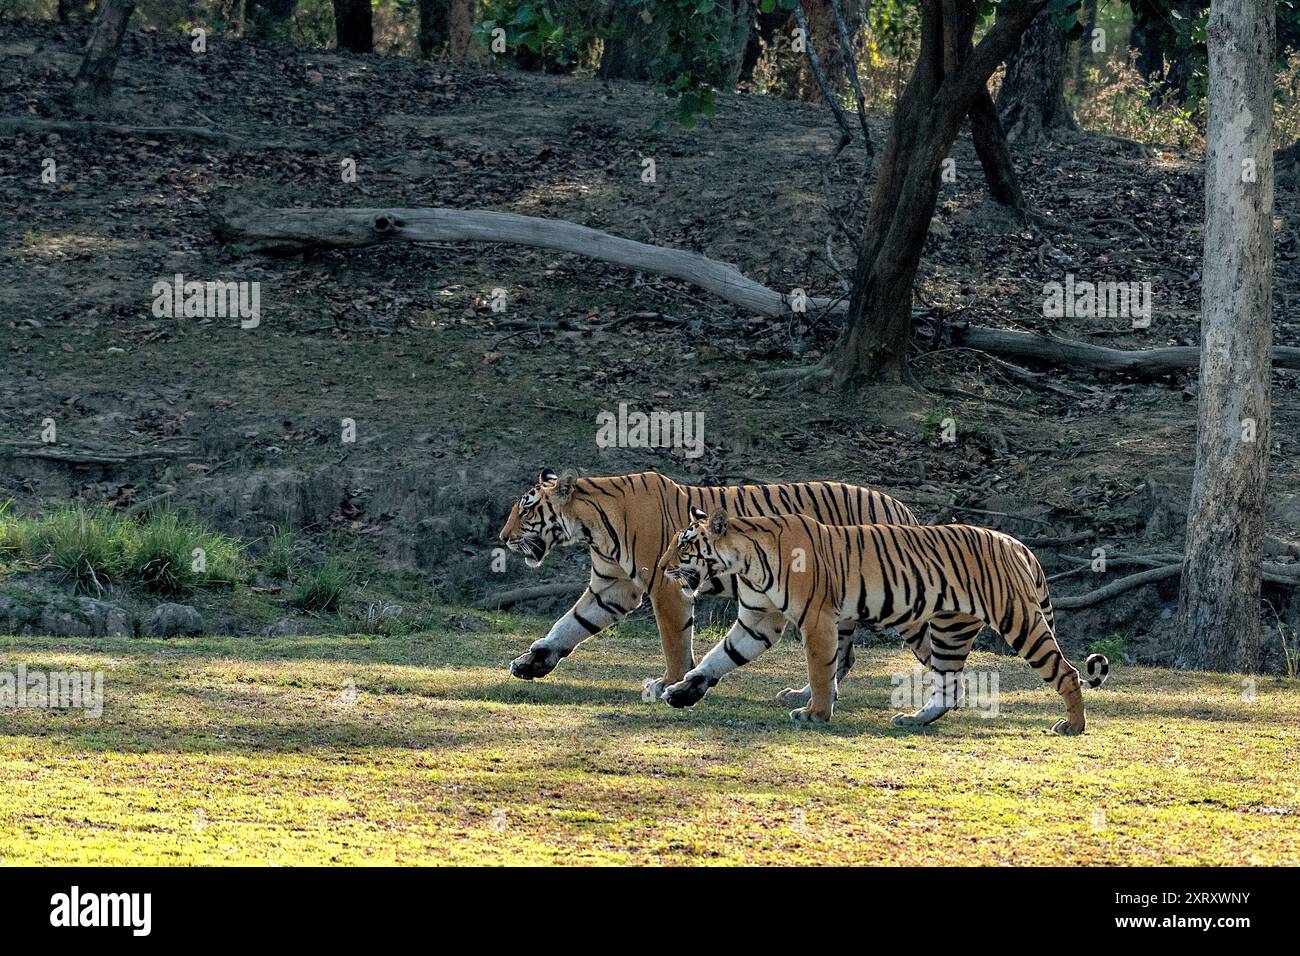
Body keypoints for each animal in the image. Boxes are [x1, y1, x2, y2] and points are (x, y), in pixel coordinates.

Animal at [498, 468, 919, 701]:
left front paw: (669, 682)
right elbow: (570, 623)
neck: (591, 526)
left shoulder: (664, 585)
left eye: (526, 509)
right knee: (841, 657)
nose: (503, 537)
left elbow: (674, 640)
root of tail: (903, 508)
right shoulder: (612, 587)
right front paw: (533, 661)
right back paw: (801, 695)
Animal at [658, 507, 1109, 734]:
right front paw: (682, 692)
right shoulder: (758, 621)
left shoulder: (817, 619)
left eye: (684, 546)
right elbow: (716, 658)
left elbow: (821, 670)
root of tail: (1017, 543)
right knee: (951, 687)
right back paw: (913, 719)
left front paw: (815, 713)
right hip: (950, 629)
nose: (661, 568)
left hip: (1020, 619)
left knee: (1066, 671)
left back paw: (1073, 725)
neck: (745, 562)